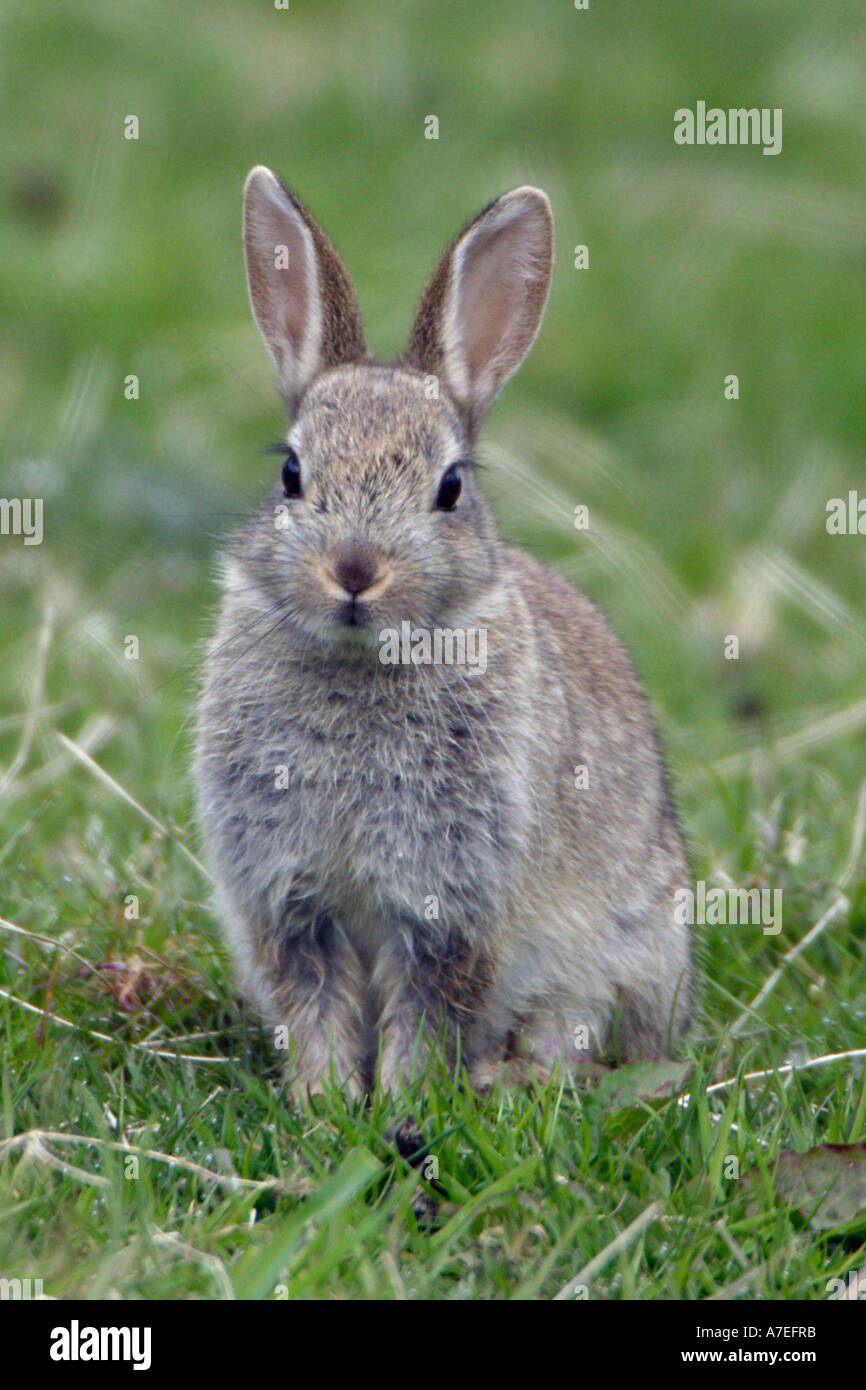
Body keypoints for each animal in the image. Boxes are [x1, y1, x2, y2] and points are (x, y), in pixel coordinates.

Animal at [195, 165, 693, 1096]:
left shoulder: (451, 906)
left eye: (451, 488)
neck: (362, 660)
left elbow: (429, 1008)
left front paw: (400, 1100)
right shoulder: (289, 901)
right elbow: (315, 1001)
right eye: (291, 474)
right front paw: (324, 1100)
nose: (356, 571)